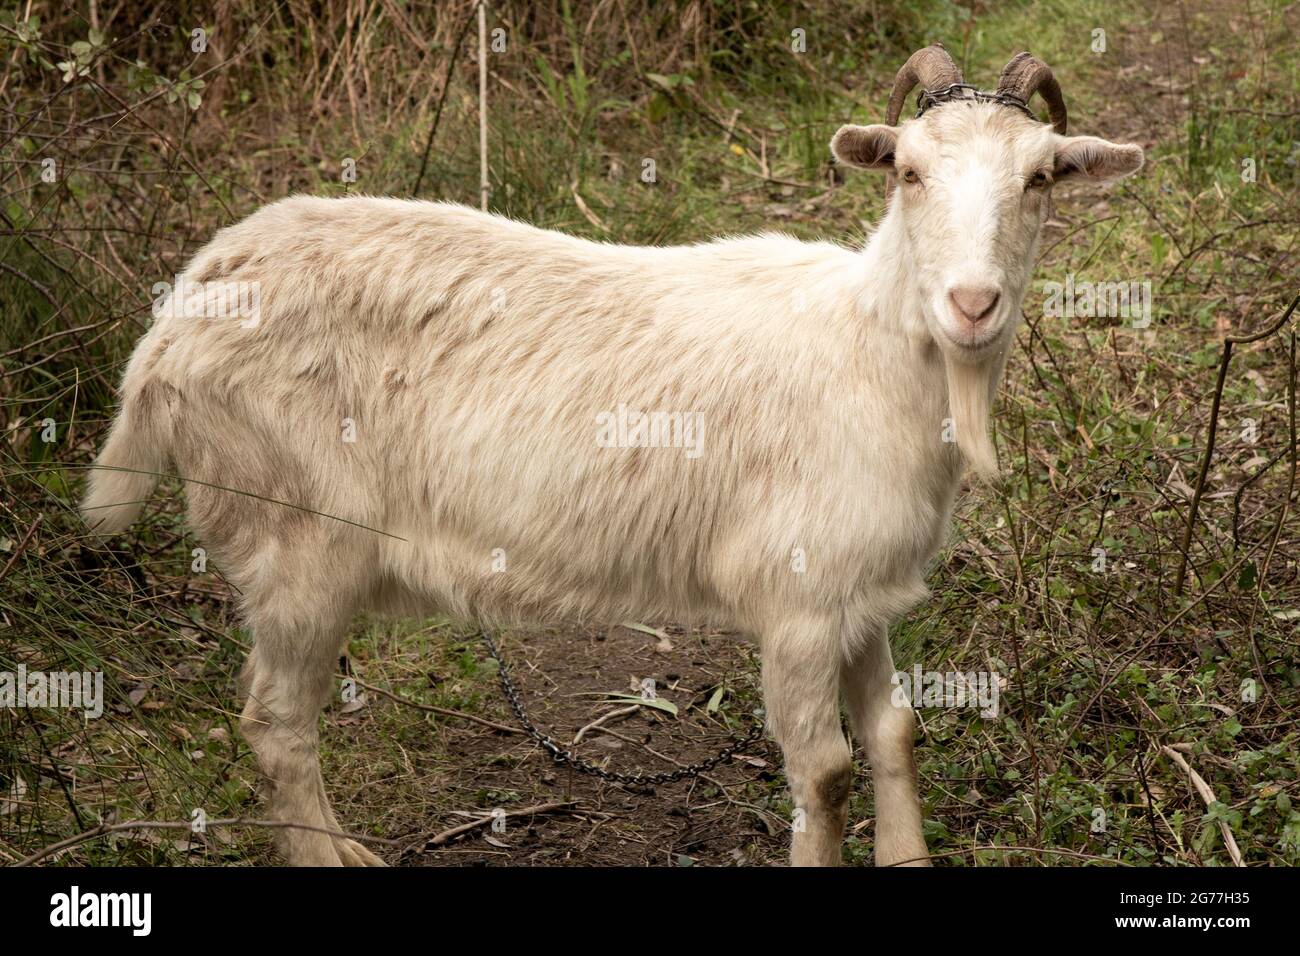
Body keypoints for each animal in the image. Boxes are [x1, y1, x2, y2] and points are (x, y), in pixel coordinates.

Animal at [83, 45, 1143, 866]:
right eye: (909, 172)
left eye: (1040, 178)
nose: (972, 304)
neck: (869, 350)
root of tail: (176, 318)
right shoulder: (797, 602)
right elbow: (826, 774)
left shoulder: (860, 594)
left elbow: (894, 733)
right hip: (296, 538)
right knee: (274, 722)